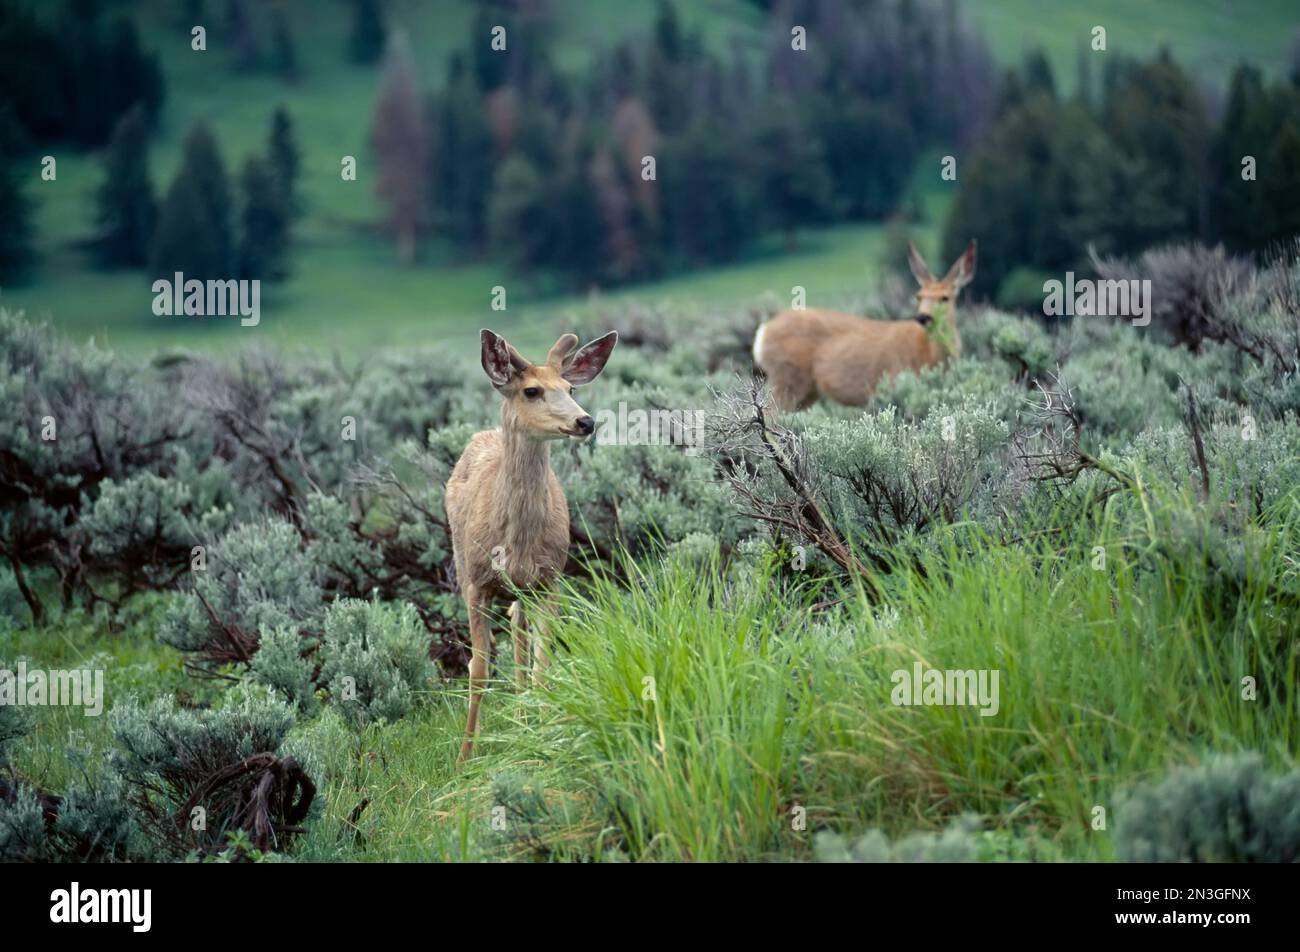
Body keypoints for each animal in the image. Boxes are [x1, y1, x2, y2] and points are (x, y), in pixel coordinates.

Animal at [446, 328, 617, 761]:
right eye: (532, 390)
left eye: (570, 387)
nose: (585, 420)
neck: (515, 542)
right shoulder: (476, 582)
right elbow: (478, 671)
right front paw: (464, 758)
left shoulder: (550, 579)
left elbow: (542, 665)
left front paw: (544, 740)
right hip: (463, 561)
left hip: (523, 590)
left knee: (519, 636)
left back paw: (524, 720)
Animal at [752, 241, 977, 410]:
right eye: (918, 296)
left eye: (945, 297)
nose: (923, 317)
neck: (930, 354)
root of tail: (763, 331)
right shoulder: (895, 381)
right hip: (787, 378)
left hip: (806, 391)